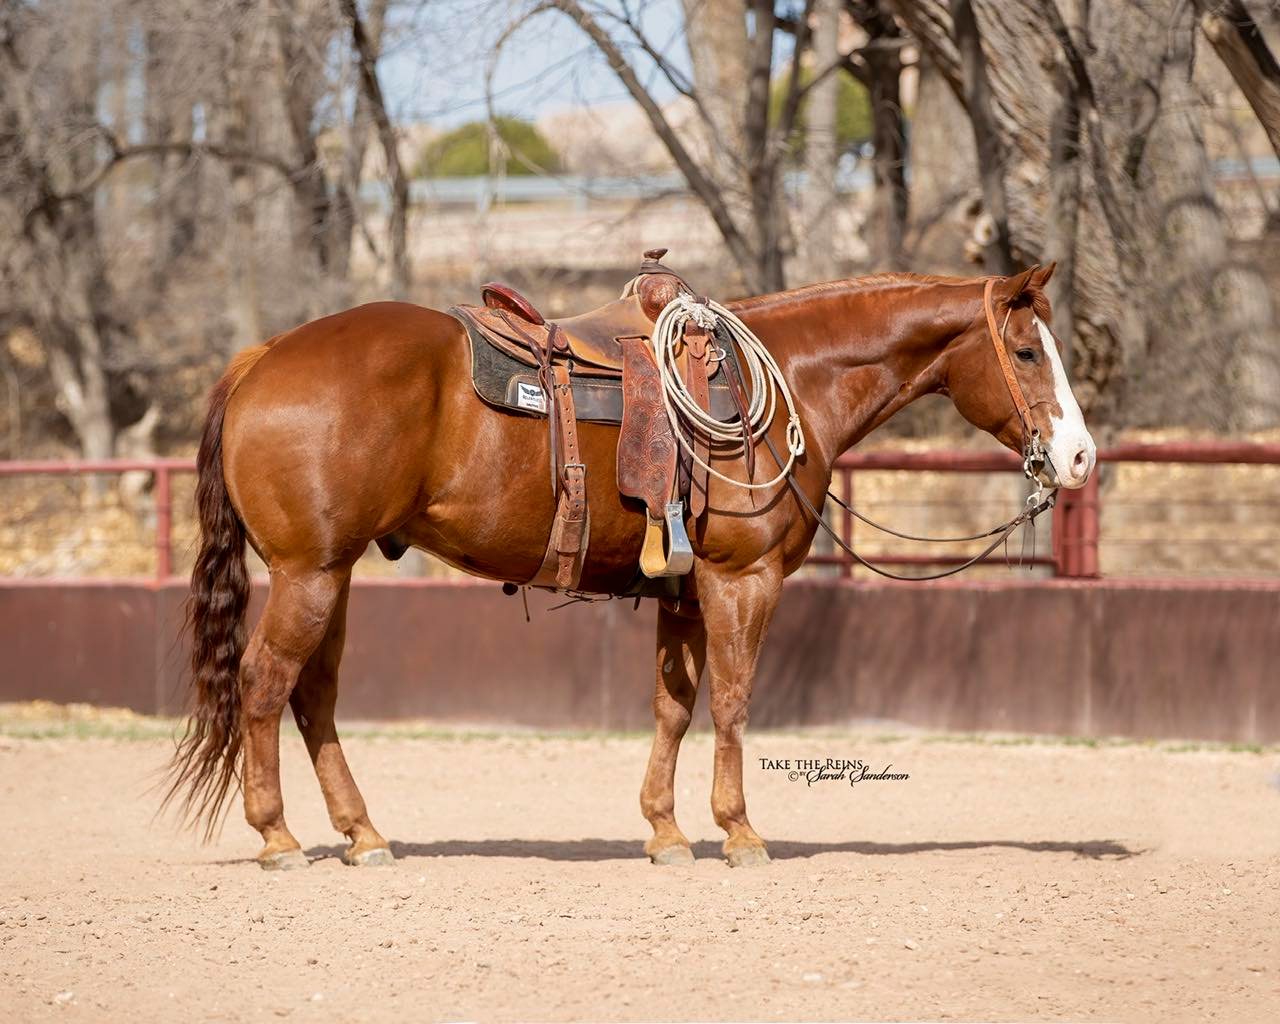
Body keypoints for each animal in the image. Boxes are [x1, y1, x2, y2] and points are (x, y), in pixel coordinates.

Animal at [165, 263, 1095, 869]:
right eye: (1026, 353)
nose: (1081, 456)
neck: (789, 382)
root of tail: (263, 358)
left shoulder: (682, 591)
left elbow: (673, 708)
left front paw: (667, 832)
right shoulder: (740, 582)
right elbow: (731, 701)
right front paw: (739, 832)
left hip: (334, 574)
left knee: (312, 697)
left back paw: (363, 835)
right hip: (309, 574)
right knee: (264, 685)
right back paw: (278, 838)